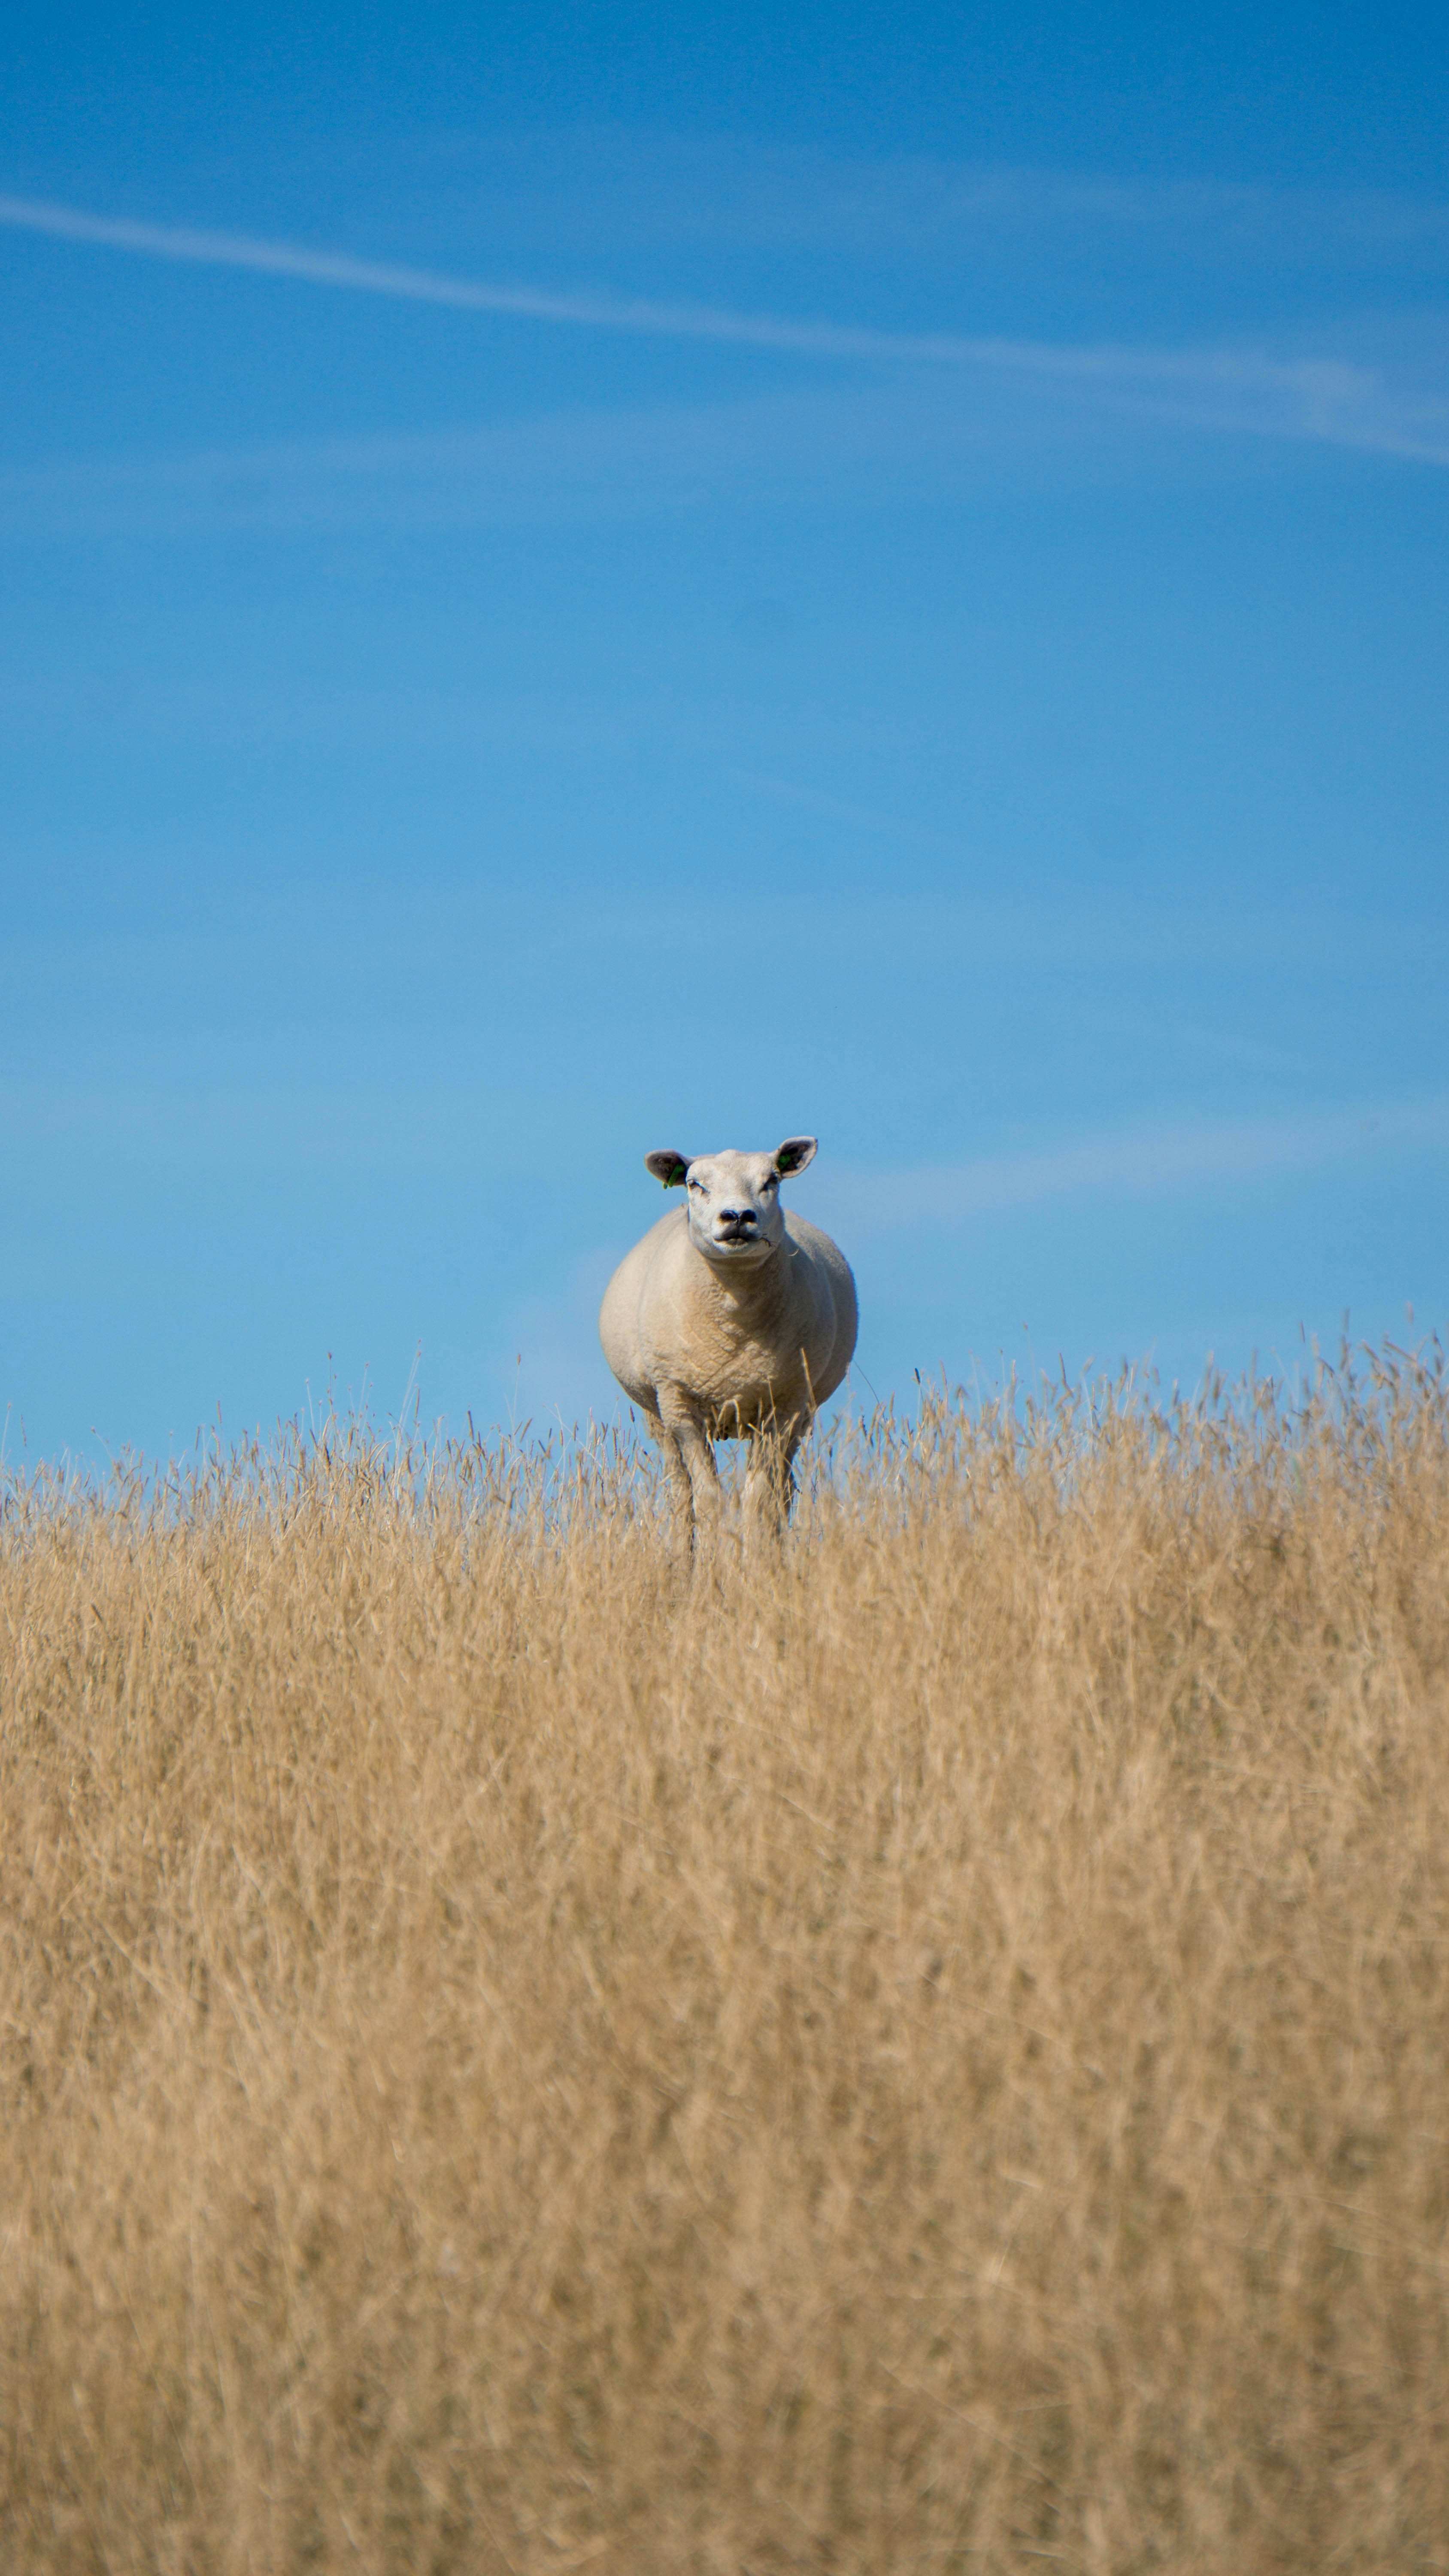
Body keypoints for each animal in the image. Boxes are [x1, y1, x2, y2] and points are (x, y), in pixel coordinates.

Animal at [598, 1136, 858, 1547]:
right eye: (694, 1184)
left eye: (772, 1180)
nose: (737, 1216)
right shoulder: (680, 1405)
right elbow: (707, 1497)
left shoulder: (783, 1405)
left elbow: (761, 1498)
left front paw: (756, 1557)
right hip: (656, 1413)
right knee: (680, 1493)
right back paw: (680, 1554)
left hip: (801, 1411)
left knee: (784, 1491)